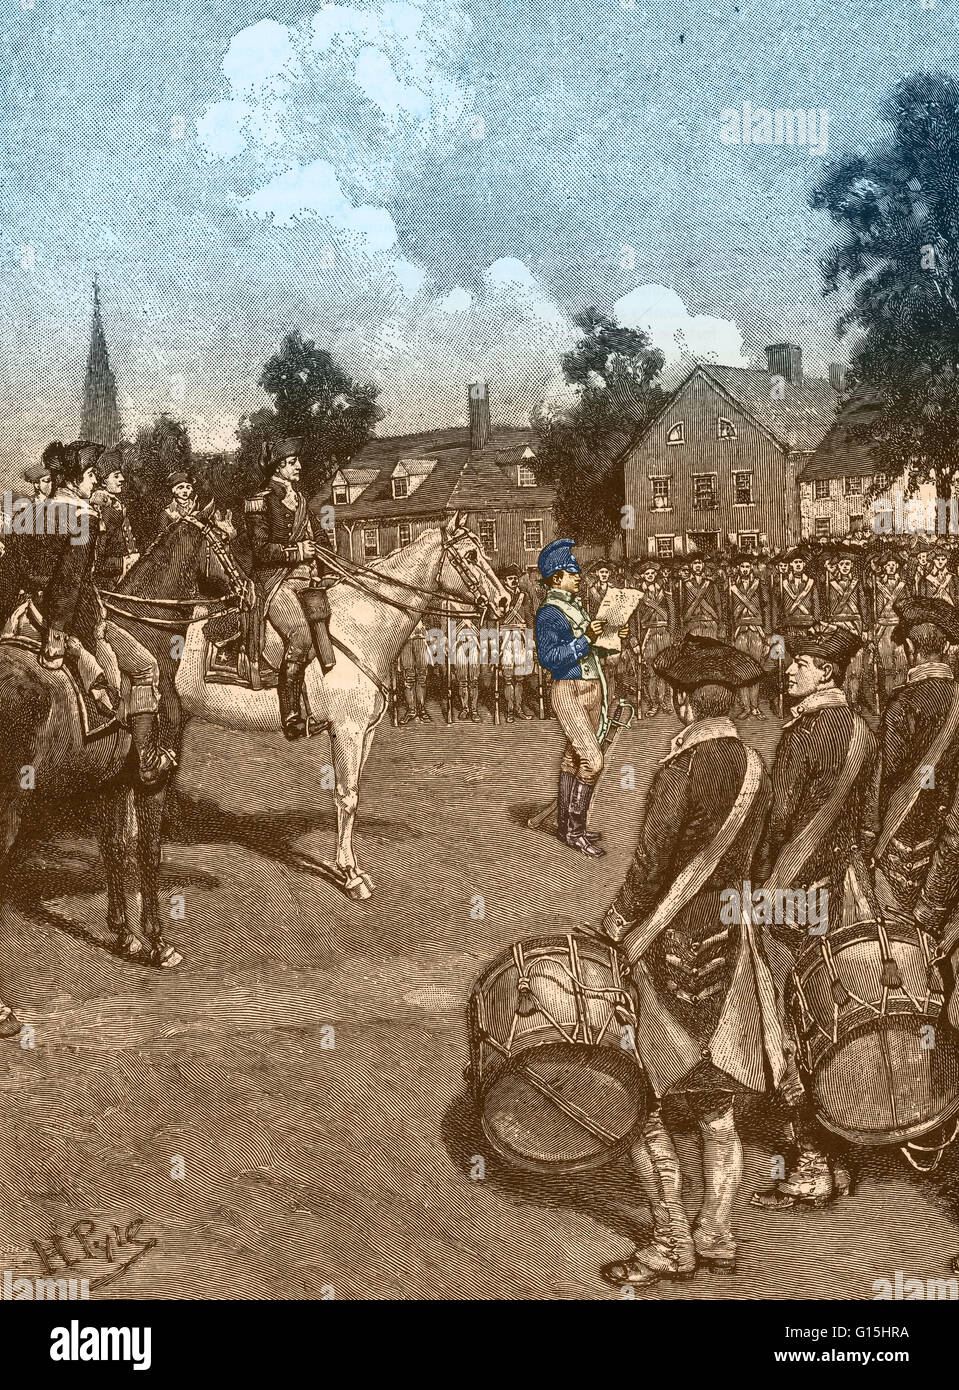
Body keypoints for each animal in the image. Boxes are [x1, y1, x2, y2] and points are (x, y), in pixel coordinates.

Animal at [0, 505, 250, 1028]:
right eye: (223, 542)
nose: (248, 593)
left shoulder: (111, 782)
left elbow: (114, 849)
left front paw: (123, 934)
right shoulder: (151, 781)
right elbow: (147, 854)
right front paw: (157, 942)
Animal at [173, 517, 508, 895]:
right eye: (471, 555)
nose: (506, 600)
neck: (360, 626)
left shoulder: (366, 732)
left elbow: (354, 795)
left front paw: (350, 867)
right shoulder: (346, 730)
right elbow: (346, 796)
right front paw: (350, 874)